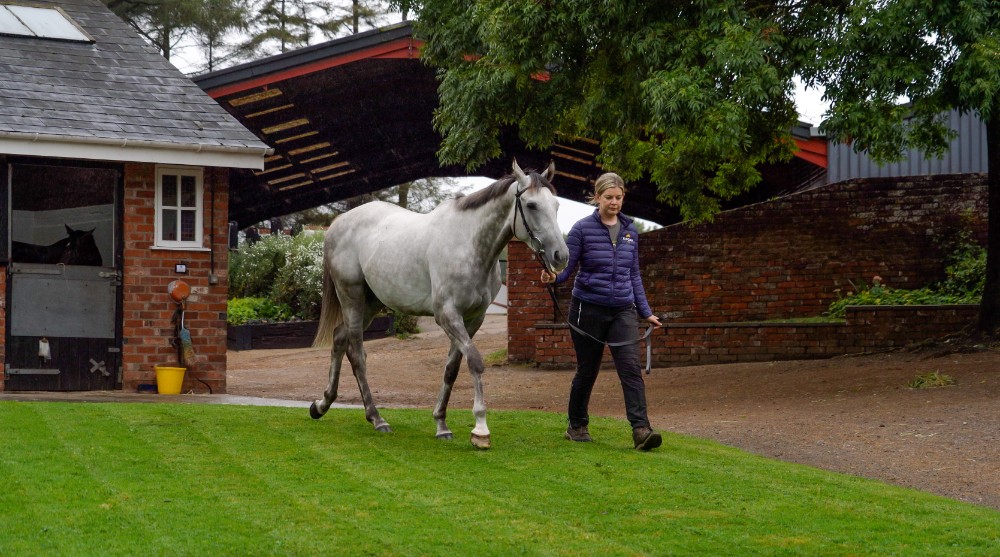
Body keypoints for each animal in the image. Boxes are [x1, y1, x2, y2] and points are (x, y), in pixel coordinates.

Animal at [310, 160, 569, 449]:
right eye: (532, 205)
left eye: (556, 205)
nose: (561, 256)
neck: (468, 244)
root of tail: (338, 224)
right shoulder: (447, 315)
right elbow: (475, 361)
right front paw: (480, 428)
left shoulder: (474, 319)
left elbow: (452, 368)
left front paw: (441, 424)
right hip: (351, 296)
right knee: (356, 354)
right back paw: (377, 418)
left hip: (371, 302)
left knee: (339, 338)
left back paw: (322, 404)